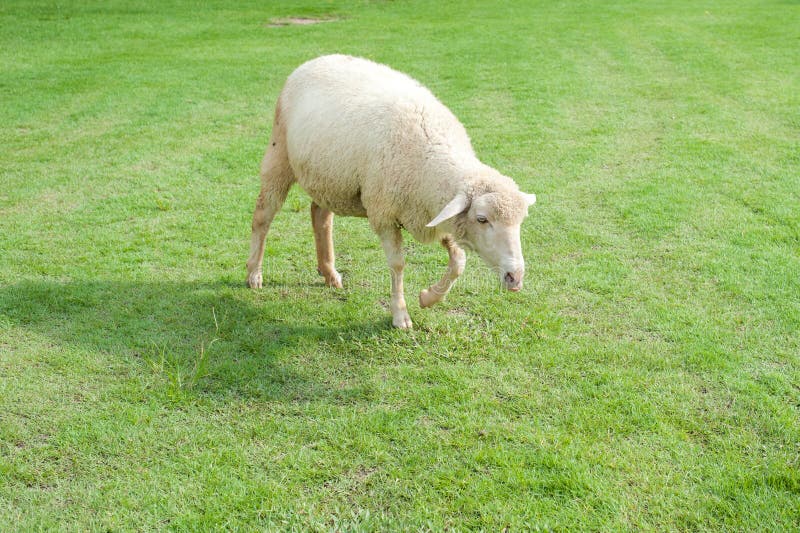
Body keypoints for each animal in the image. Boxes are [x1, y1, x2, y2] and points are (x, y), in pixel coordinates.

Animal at [246, 54, 537, 328]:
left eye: (521, 221)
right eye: (482, 219)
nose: (515, 277)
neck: (431, 155)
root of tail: (317, 59)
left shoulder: (434, 213)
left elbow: (459, 261)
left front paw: (428, 297)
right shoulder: (384, 215)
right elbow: (398, 264)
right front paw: (400, 315)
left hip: (330, 178)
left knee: (320, 215)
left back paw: (329, 273)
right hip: (279, 155)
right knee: (263, 216)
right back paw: (254, 274)